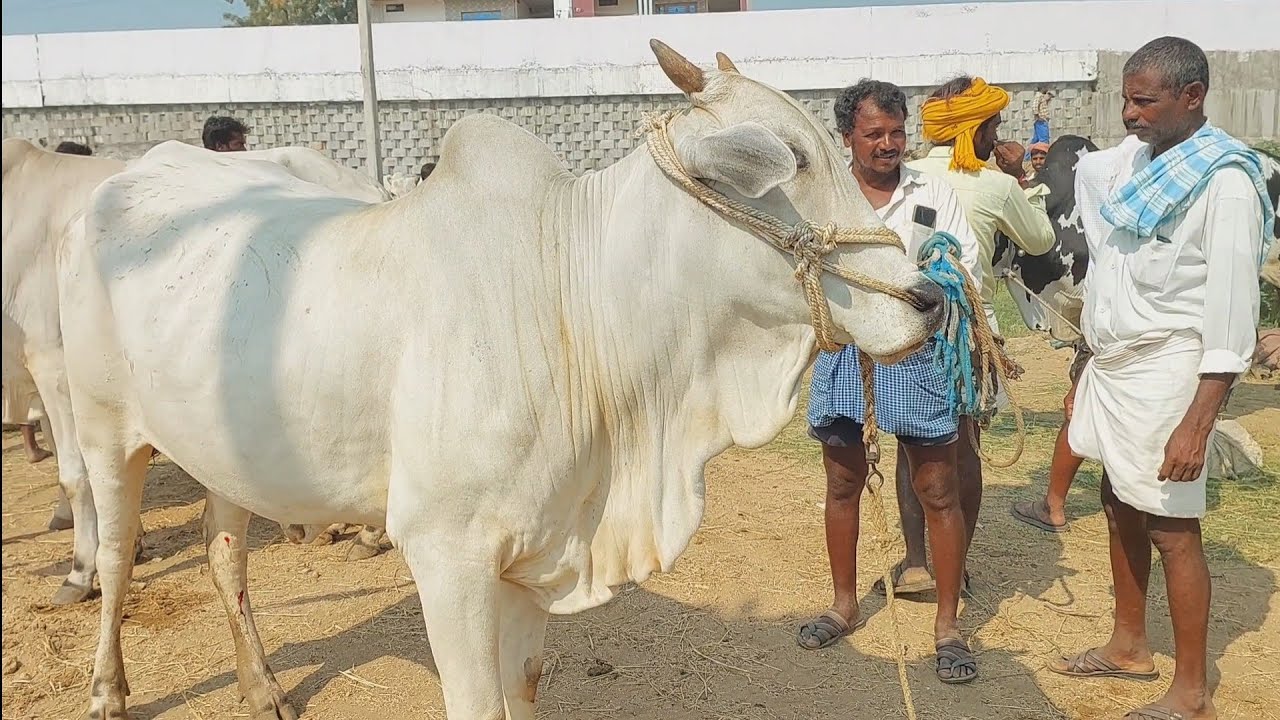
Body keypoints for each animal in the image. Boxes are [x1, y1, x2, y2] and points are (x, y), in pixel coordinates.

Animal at [61, 41, 946, 720]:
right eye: (789, 158)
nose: (928, 300)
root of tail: (129, 176)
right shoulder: (443, 554)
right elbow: (476, 702)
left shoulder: (534, 550)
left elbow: (522, 687)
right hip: (106, 429)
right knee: (114, 555)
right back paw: (107, 689)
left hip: (225, 453)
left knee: (223, 557)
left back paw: (261, 687)